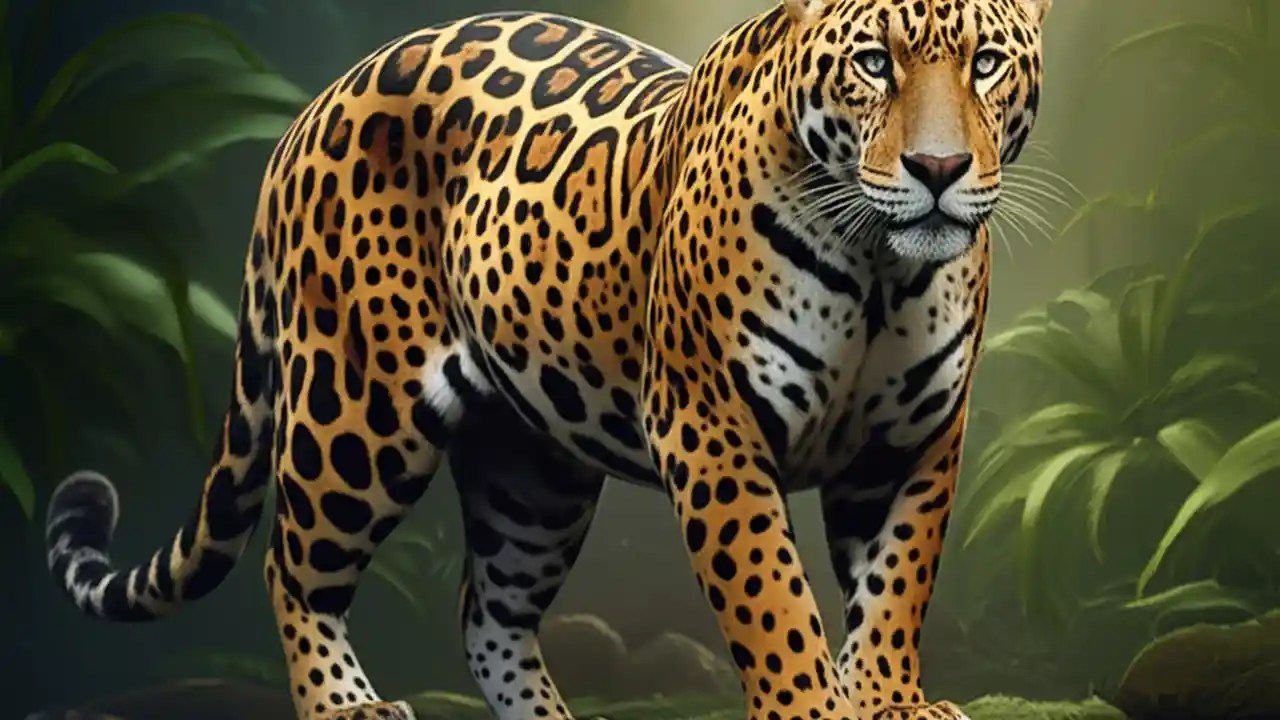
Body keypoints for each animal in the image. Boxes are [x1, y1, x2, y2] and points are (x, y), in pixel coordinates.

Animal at [43, 1, 1052, 718]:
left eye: (985, 63)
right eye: (874, 63)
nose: (937, 170)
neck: (882, 271)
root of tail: (311, 108)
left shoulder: (913, 444)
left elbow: (894, 590)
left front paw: (890, 702)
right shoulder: (711, 426)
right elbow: (772, 598)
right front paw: (814, 706)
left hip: (535, 469)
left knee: (487, 613)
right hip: (357, 411)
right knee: (290, 563)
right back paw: (346, 707)